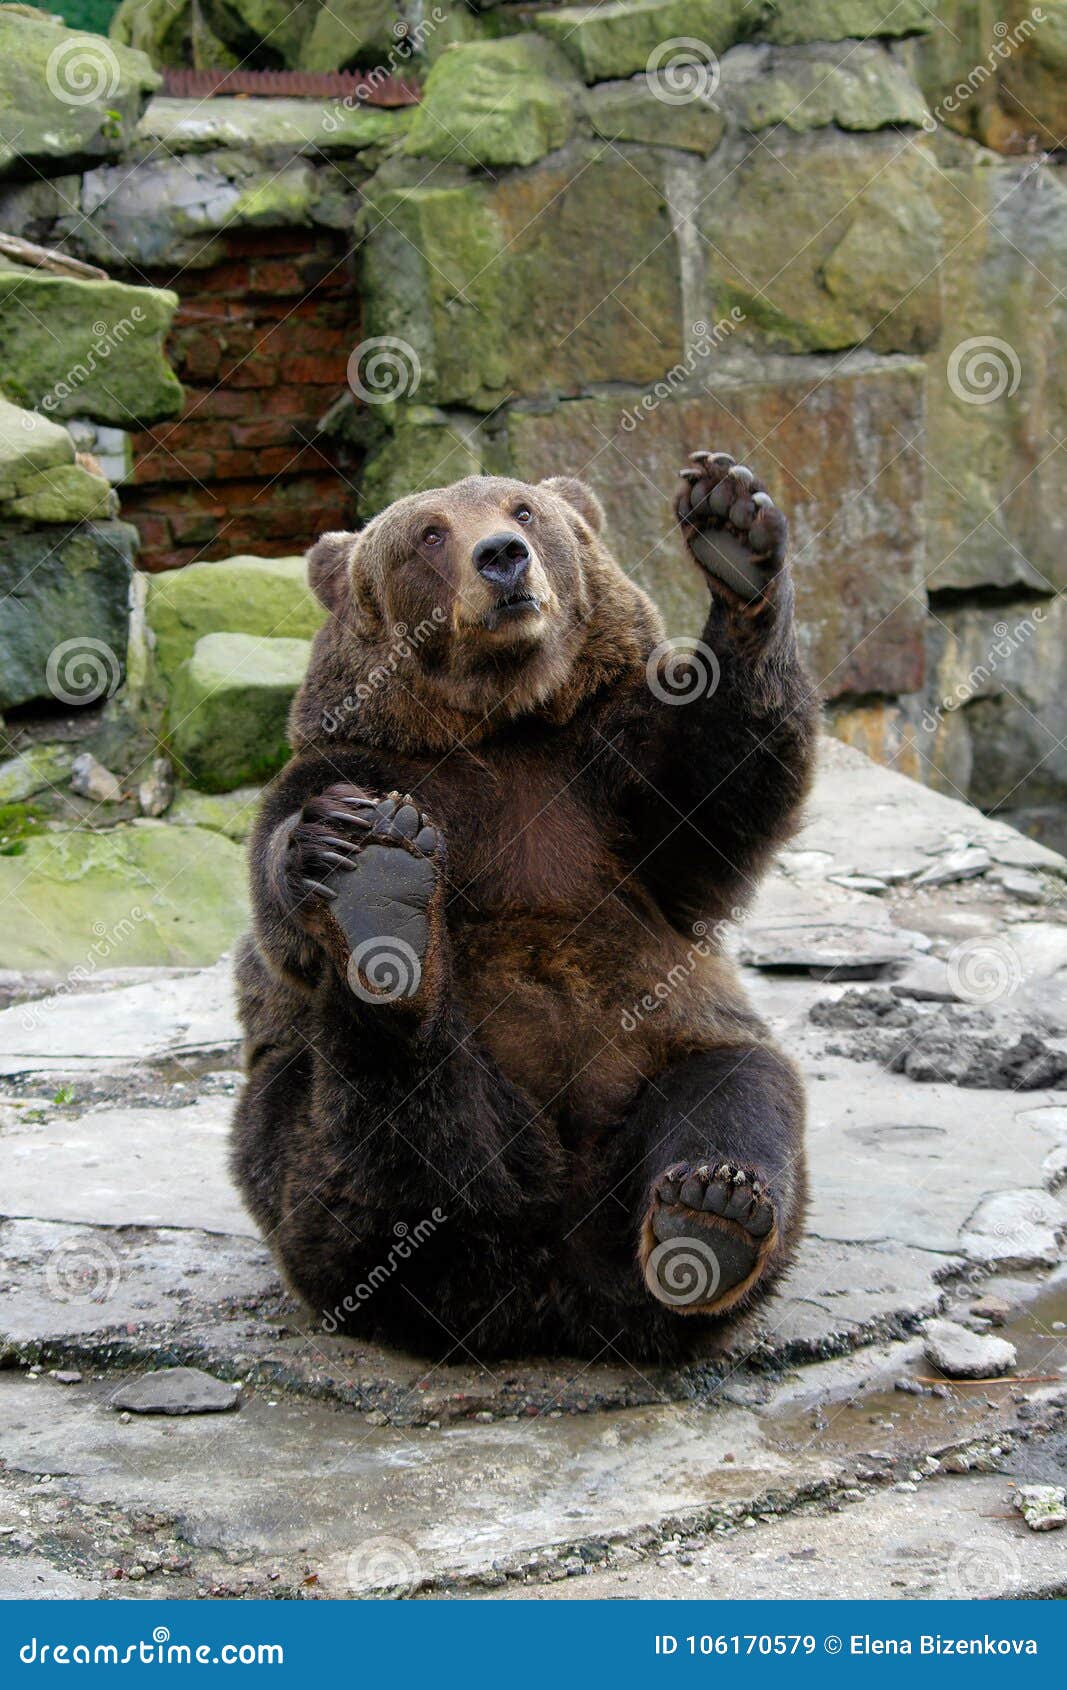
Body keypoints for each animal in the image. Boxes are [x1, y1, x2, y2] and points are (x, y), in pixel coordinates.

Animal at [230, 449, 818, 1362]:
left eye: (523, 510)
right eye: (428, 533)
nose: (501, 557)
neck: (502, 725)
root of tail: (552, 1288)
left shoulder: (606, 784)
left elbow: (720, 789)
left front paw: (731, 527)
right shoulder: (373, 769)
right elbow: (284, 887)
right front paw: (355, 853)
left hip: (671, 1051)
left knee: (737, 1089)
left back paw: (708, 1217)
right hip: (316, 1129)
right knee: (369, 1129)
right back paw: (386, 921)